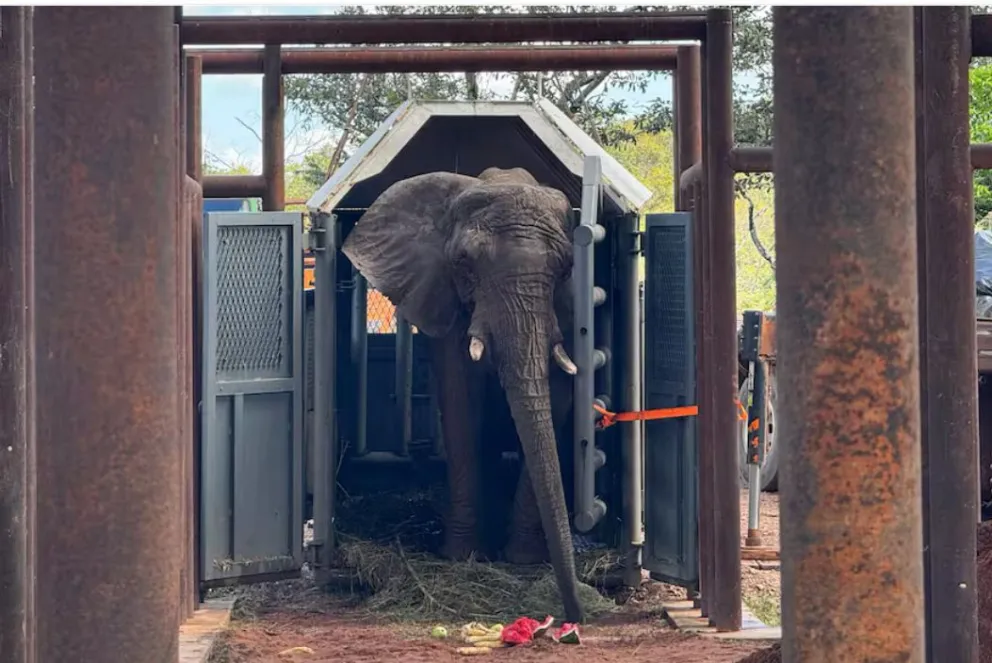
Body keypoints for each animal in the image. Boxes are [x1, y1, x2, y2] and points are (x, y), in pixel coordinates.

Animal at [341, 166, 586, 623]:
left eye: (565, 269)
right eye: (464, 264)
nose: (575, 617)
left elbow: (558, 395)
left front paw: (523, 559)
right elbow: (458, 399)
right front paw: (462, 556)